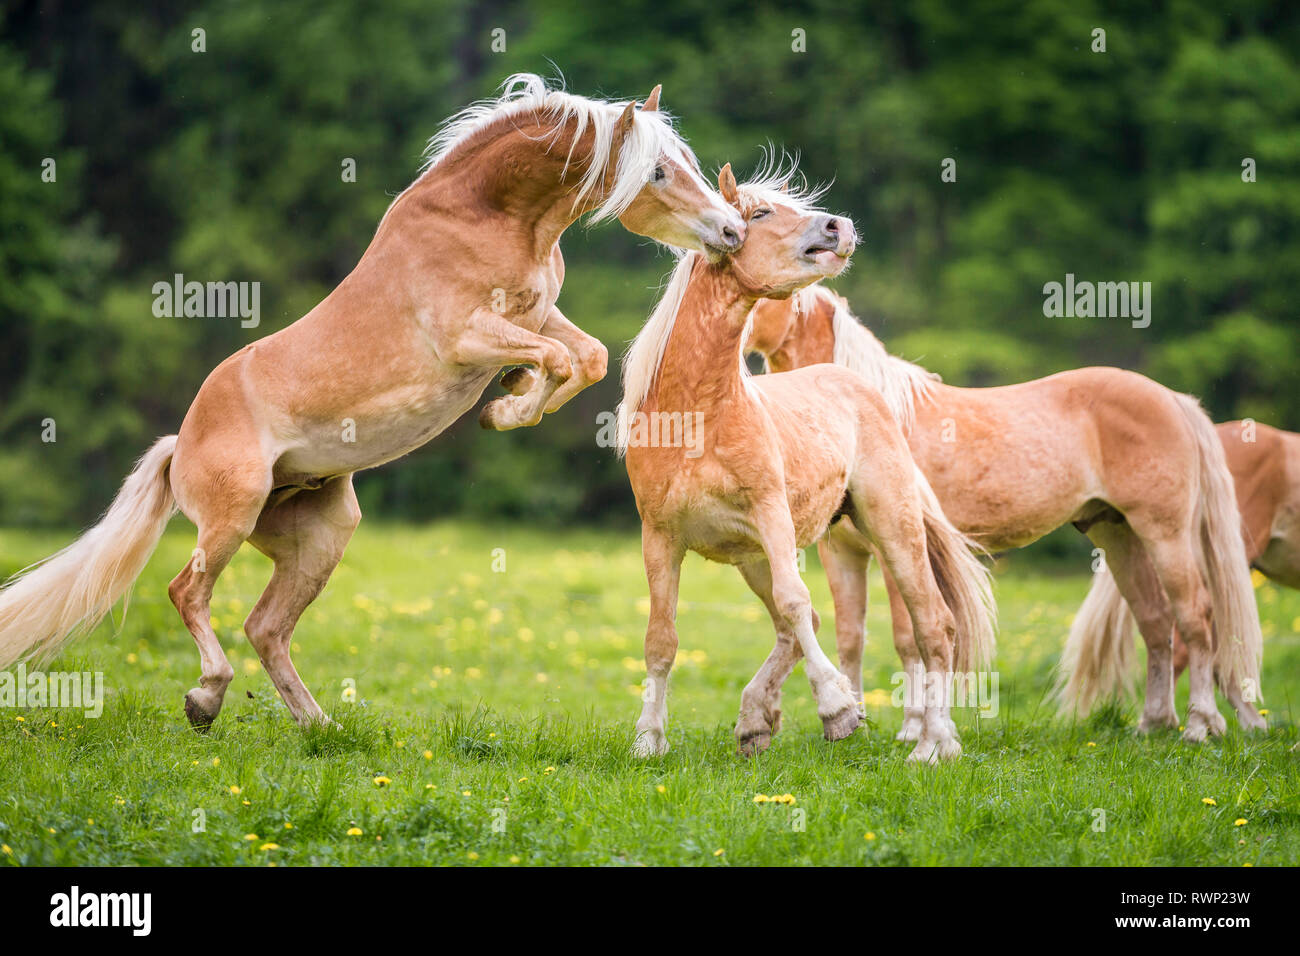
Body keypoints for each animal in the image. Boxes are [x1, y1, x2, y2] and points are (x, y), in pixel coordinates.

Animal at [0, 73, 746, 730]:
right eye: (658, 171)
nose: (733, 231)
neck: (491, 215)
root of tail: (179, 443)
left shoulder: (538, 317)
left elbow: (585, 357)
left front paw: (508, 399)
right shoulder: (468, 337)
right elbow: (562, 361)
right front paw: (507, 406)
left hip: (322, 532)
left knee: (265, 628)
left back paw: (319, 726)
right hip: (231, 516)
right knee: (189, 593)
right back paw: (206, 699)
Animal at [618, 164, 995, 764]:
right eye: (760, 213)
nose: (839, 227)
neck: (698, 416)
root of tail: (861, 386)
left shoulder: (772, 517)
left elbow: (796, 604)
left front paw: (838, 709)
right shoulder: (661, 537)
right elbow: (662, 638)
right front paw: (649, 739)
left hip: (890, 527)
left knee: (933, 626)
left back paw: (932, 746)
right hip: (753, 556)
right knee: (801, 627)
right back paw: (756, 719)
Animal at [744, 284, 1264, 742]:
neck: (861, 415)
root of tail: (1174, 400)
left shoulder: (898, 548)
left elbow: (907, 635)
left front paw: (912, 728)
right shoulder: (844, 554)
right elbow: (851, 636)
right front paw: (851, 719)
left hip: (1166, 533)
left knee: (1195, 617)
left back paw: (1198, 725)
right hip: (1117, 534)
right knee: (1155, 622)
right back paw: (1153, 724)